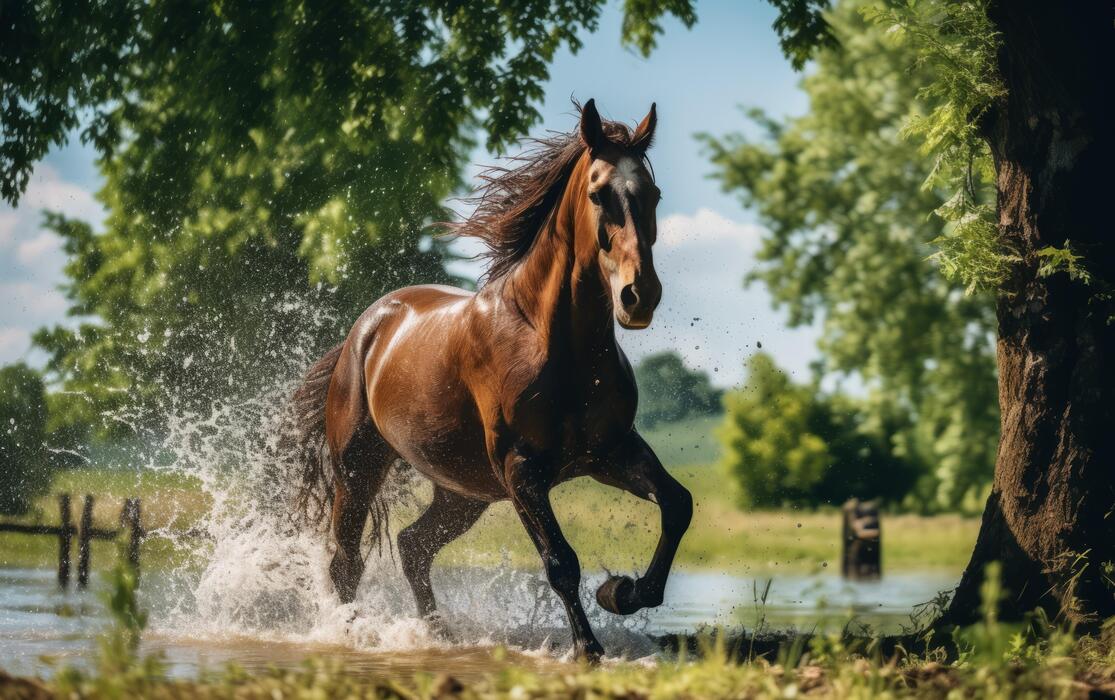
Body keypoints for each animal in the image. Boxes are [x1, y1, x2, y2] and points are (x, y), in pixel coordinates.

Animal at [288, 99, 692, 661]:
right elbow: (560, 562)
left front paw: (620, 592)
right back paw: (355, 636)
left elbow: (678, 506)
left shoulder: (611, 453)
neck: (550, 342)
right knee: (346, 562)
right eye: (599, 194)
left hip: (463, 492)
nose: (640, 296)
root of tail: (363, 332)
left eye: (652, 194)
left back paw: (437, 633)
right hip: (359, 471)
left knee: (413, 546)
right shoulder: (522, 470)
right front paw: (587, 647)